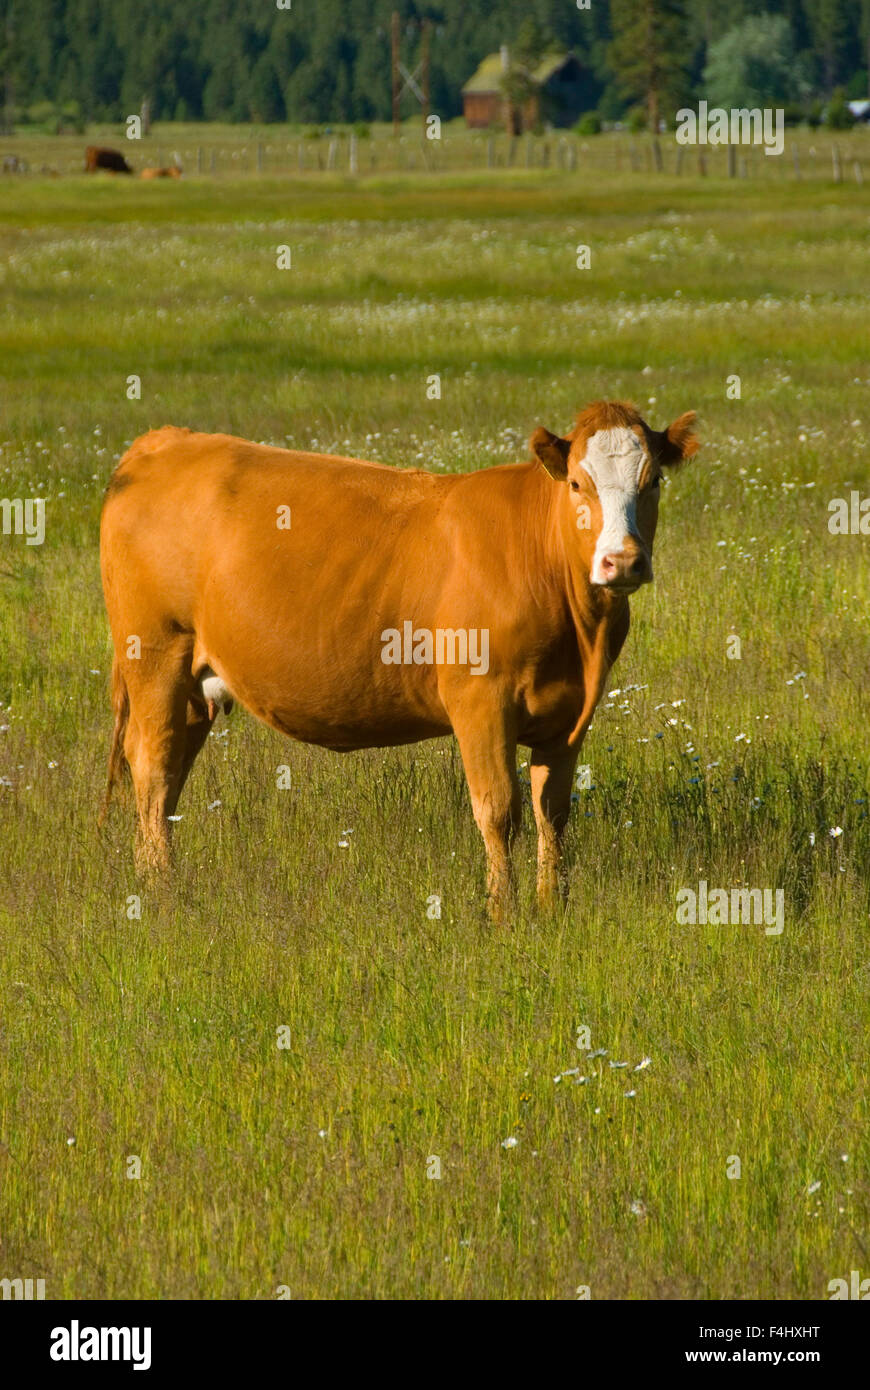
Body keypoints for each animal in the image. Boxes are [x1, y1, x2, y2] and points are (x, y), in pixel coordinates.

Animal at [99, 400, 698, 919]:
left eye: (653, 482)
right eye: (577, 483)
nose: (621, 561)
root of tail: (163, 441)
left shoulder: (570, 715)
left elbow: (553, 812)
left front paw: (553, 909)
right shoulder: (481, 702)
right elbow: (499, 811)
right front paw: (503, 917)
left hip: (192, 684)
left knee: (170, 774)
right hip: (155, 653)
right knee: (153, 769)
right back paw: (159, 893)